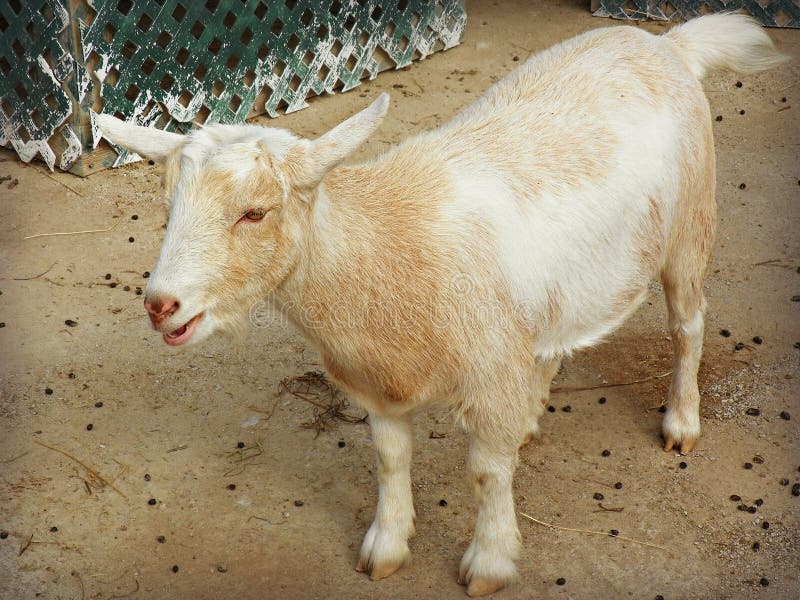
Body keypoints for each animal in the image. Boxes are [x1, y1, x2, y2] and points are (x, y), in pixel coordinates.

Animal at [96, 14, 786, 596]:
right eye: (168, 207)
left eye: (255, 212)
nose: (160, 304)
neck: (383, 252)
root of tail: (667, 43)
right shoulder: (379, 386)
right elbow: (389, 460)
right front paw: (386, 547)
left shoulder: (486, 374)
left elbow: (486, 474)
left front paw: (489, 563)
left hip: (691, 226)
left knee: (687, 324)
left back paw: (681, 422)